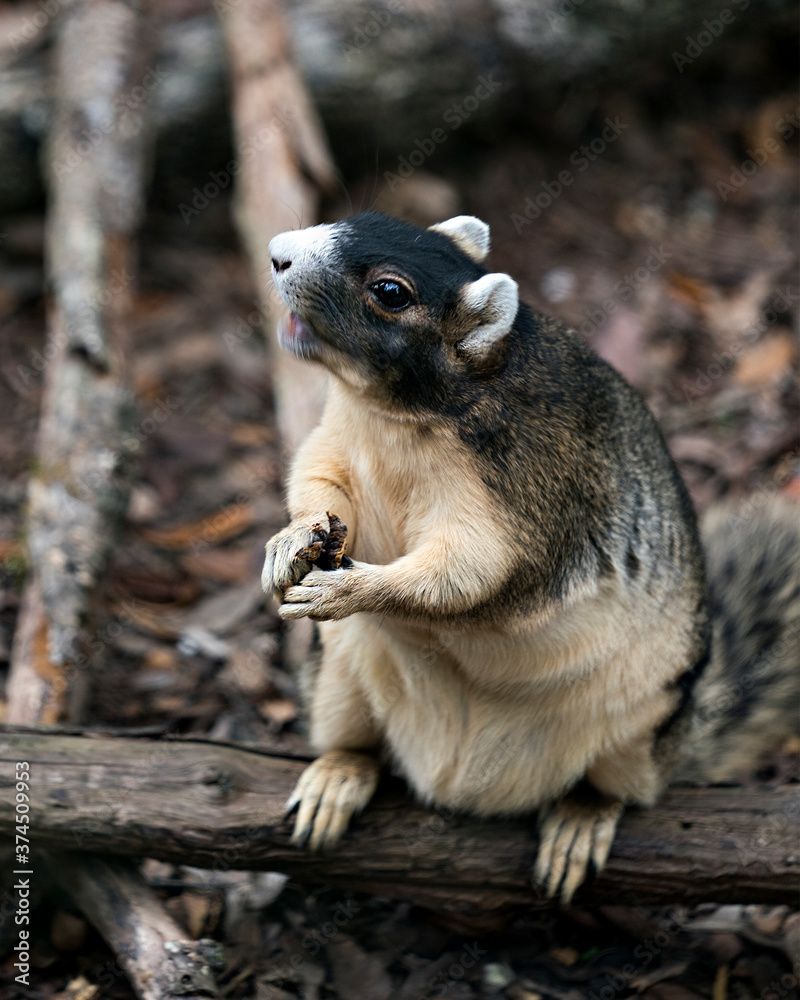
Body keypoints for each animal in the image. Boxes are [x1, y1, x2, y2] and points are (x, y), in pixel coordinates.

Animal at [262, 212, 800, 903]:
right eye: (358, 218)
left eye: (390, 292)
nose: (276, 253)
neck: (391, 416)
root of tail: (455, 783)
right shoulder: (334, 444)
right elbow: (315, 484)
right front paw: (289, 542)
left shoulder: (521, 494)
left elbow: (465, 573)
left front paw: (349, 591)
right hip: (338, 682)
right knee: (359, 746)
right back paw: (336, 776)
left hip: (638, 729)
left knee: (619, 790)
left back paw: (581, 820)